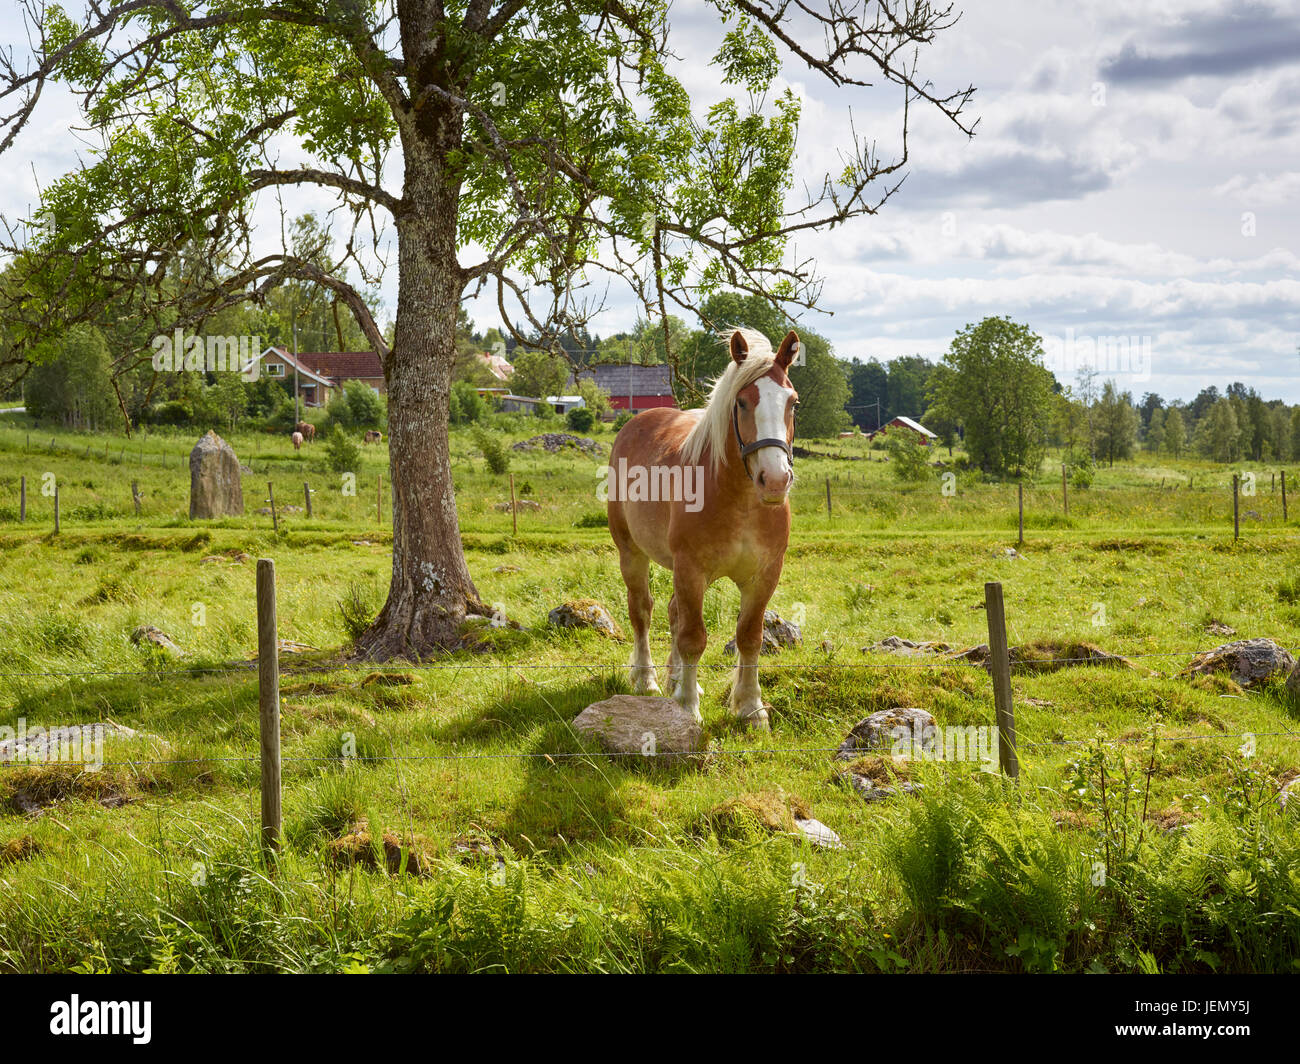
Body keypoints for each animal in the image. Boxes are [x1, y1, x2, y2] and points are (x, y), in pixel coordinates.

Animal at [607, 327, 799, 730]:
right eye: (741, 403)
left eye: (792, 402)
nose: (775, 480)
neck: (739, 501)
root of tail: (635, 423)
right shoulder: (691, 570)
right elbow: (693, 638)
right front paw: (687, 708)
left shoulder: (764, 575)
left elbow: (749, 637)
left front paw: (750, 708)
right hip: (632, 554)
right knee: (642, 611)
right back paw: (647, 680)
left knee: (672, 613)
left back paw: (676, 679)